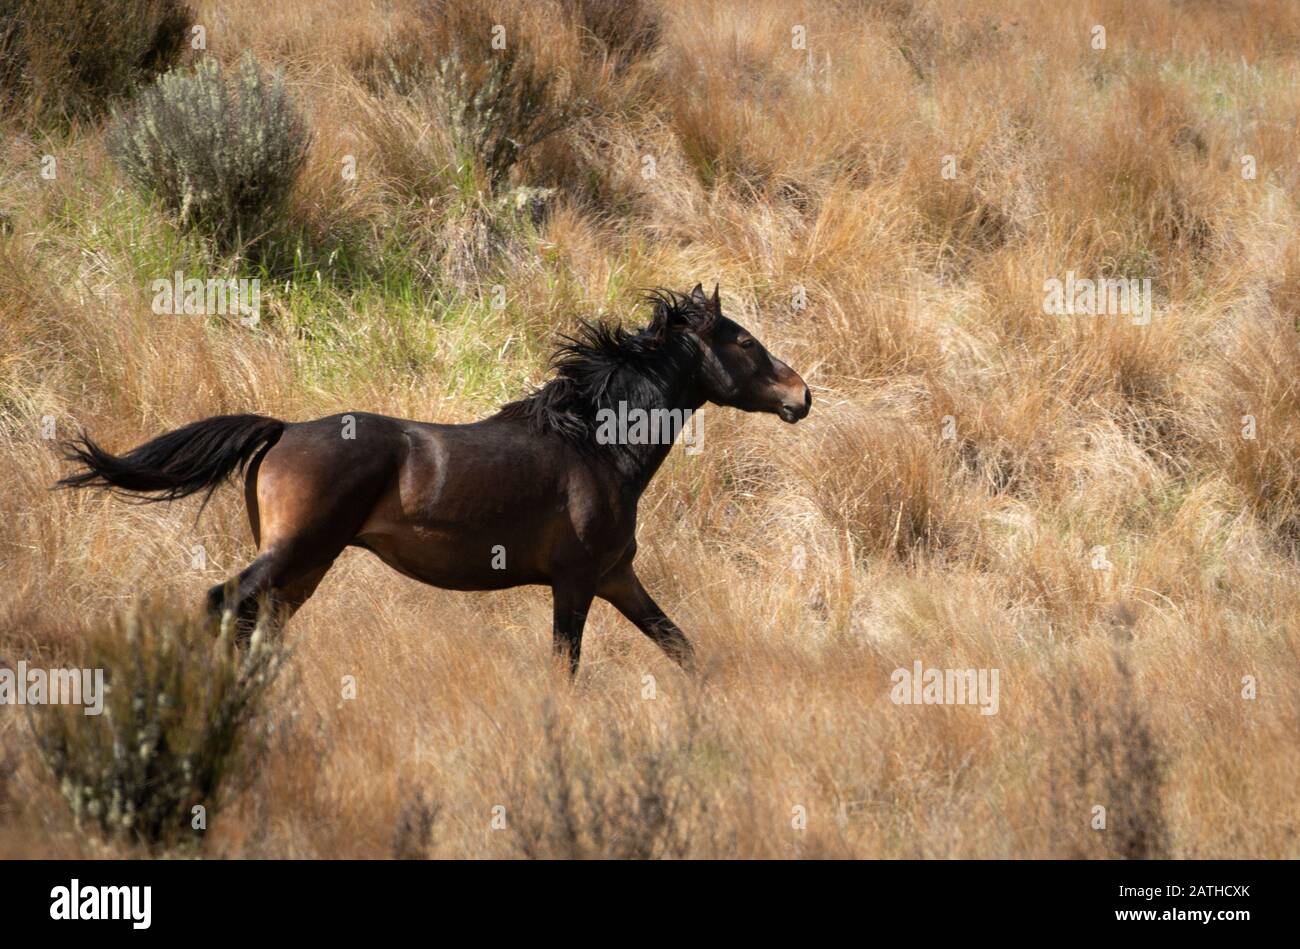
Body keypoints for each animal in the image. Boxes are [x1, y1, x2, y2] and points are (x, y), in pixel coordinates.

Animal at [56, 284, 811, 674]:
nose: (801, 396)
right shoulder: (575, 582)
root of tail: (282, 429)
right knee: (222, 603)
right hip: (296, 553)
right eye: (744, 341)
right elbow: (566, 667)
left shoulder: (616, 577)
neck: (597, 446)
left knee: (254, 622)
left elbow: (681, 647)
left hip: (304, 567)